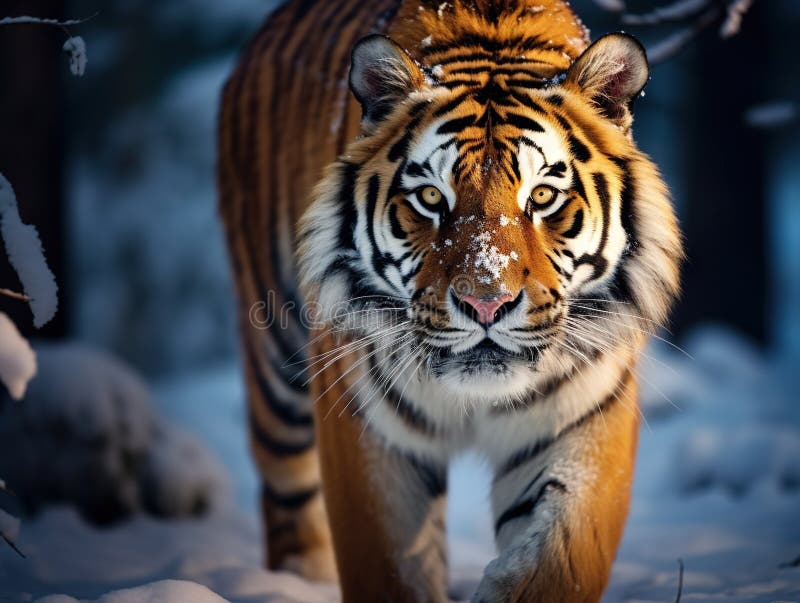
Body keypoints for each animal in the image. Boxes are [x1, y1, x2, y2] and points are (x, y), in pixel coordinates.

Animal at [217, 0, 683, 601]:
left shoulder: (583, 424)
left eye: (542, 196)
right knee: (287, 496)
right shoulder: (368, 434)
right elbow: (389, 569)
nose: (486, 304)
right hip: (276, 361)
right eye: (431, 197)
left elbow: (559, 560)